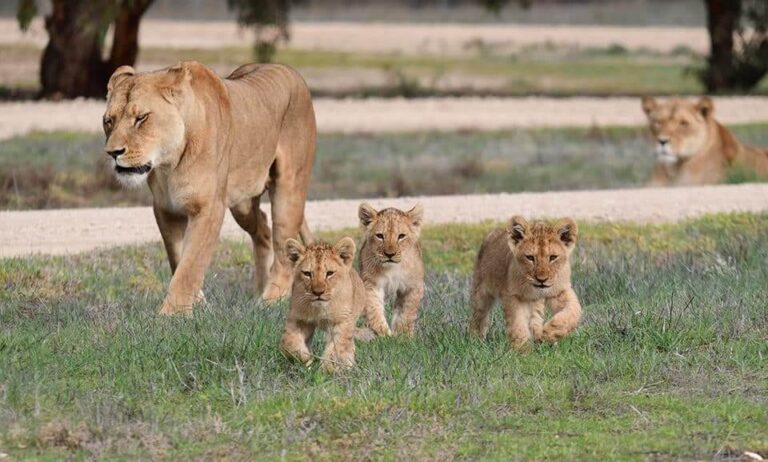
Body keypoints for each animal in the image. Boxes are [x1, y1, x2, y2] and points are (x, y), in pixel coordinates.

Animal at [103, 61, 316, 315]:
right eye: (108, 121)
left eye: (141, 118)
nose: (113, 153)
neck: (168, 164)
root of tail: (288, 70)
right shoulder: (166, 210)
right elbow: (179, 259)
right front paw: (197, 303)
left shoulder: (209, 208)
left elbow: (191, 264)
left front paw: (171, 314)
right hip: (242, 203)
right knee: (263, 228)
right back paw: (257, 292)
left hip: (289, 189)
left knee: (283, 249)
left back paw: (270, 301)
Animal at [280, 237, 367, 372]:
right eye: (307, 273)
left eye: (329, 273)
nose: (318, 292)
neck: (319, 310)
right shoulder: (297, 318)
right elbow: (288, 343)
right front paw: (305, 358)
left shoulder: (343, 321)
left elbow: (336, 348)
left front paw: (326, 369)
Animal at [358, 203, 425, 337]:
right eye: (380, 236)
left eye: (401, 236)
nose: (390, 254)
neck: (391, 269)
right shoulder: (371, 284)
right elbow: (374, 310)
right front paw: (383, 334)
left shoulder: (413, 285)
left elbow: (407, 311)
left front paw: (403, 335)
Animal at [469, 216, 582, 350]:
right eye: (530, 258)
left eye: (553, 257)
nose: (542, 280)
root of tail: (492, 234)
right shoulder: (513, 296)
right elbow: (518, 324)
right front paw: (522, 351)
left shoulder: (560, 291)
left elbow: (573, 310)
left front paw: (549, 334)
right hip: (481, 291)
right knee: (479, 315)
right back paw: (475, 341)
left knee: (535, 318)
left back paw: (539, 340)